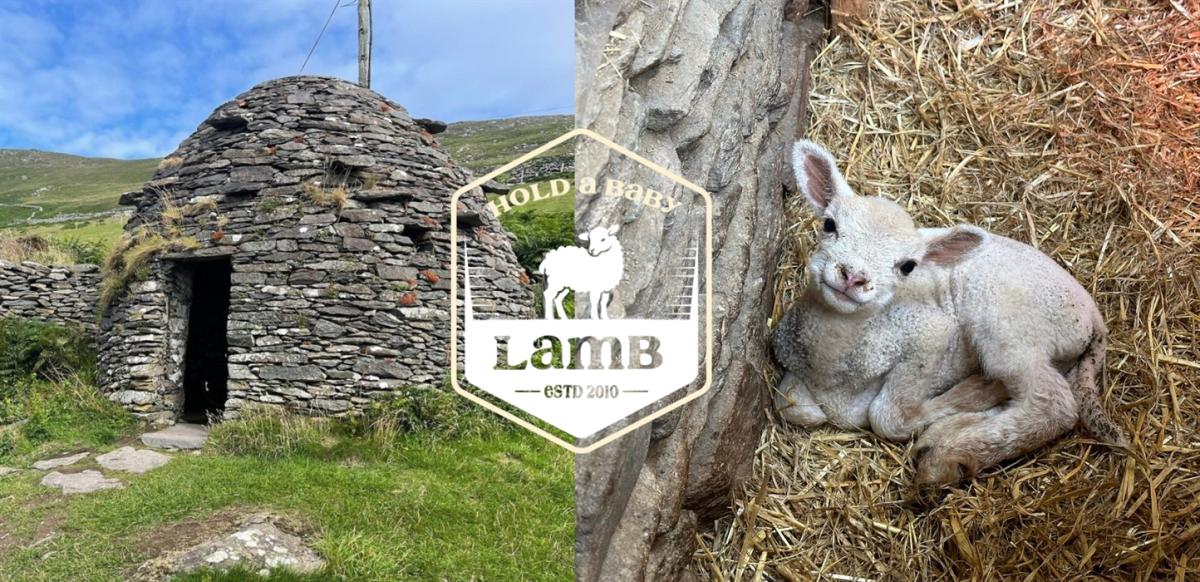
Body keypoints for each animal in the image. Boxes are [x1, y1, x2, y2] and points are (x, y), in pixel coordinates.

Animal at [773, 140, 1127, 489]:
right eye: (829, 225)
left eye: (907, 266)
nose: (852, 276)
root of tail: (1094, 318)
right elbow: (794, 407)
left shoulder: (928, 331)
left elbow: (887, 417)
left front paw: (963, 399)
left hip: (1009, 328)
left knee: (1053, 403)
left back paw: (950, 455)